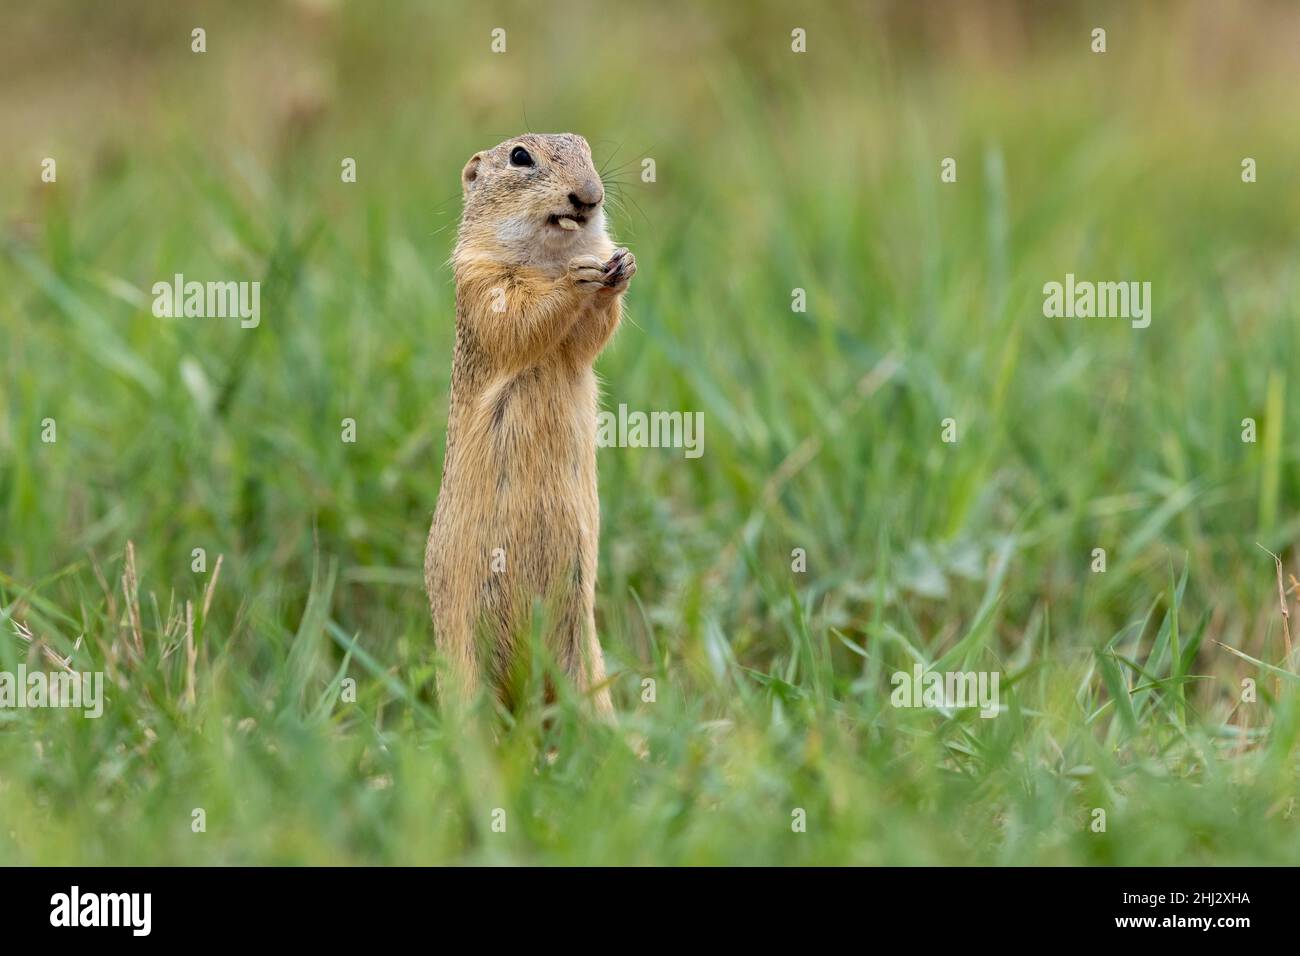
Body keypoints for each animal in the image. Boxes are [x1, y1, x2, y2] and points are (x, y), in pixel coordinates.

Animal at [425, 133, 635, 716]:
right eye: (520, 157)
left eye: (587, 149)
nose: (589, 195)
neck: (548, 257)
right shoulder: (481, 280)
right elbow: (516, 321)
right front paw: (579, 279)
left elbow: (590, 336)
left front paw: (620, 265)